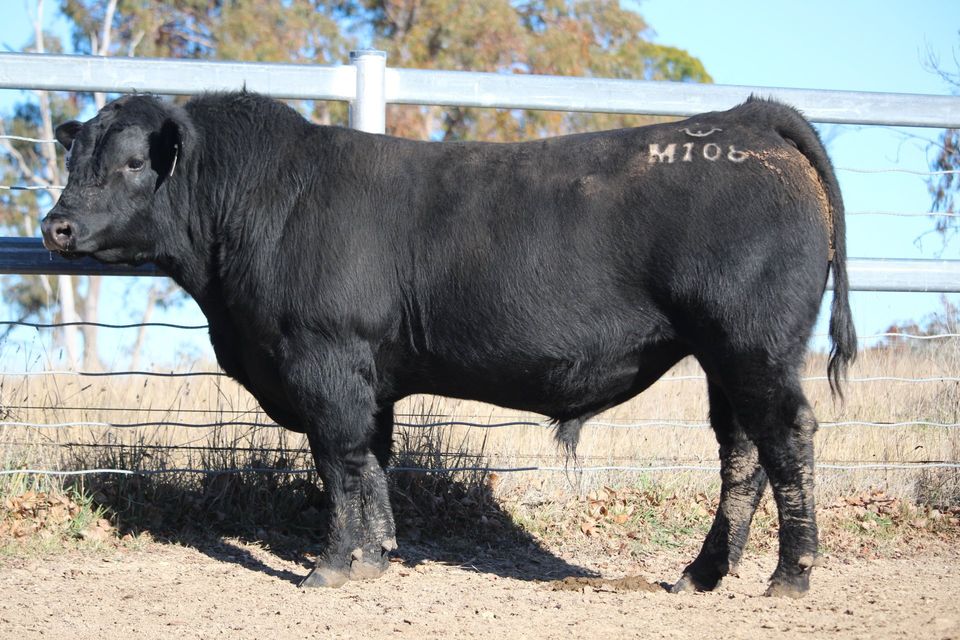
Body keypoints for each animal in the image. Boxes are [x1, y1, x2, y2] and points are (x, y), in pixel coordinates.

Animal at [41, 91, 856, 597]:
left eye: (131, 163)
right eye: (75, 158)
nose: (56, 227)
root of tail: (746, 119)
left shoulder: (323, 360)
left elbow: (337, 461)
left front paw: (328, 568)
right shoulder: (366, 377)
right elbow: (371, 463)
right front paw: (376, 557)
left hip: (751, 344)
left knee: (787, 436)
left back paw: (791, 574)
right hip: (725, 356)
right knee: (742, 452)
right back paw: (704, 575)